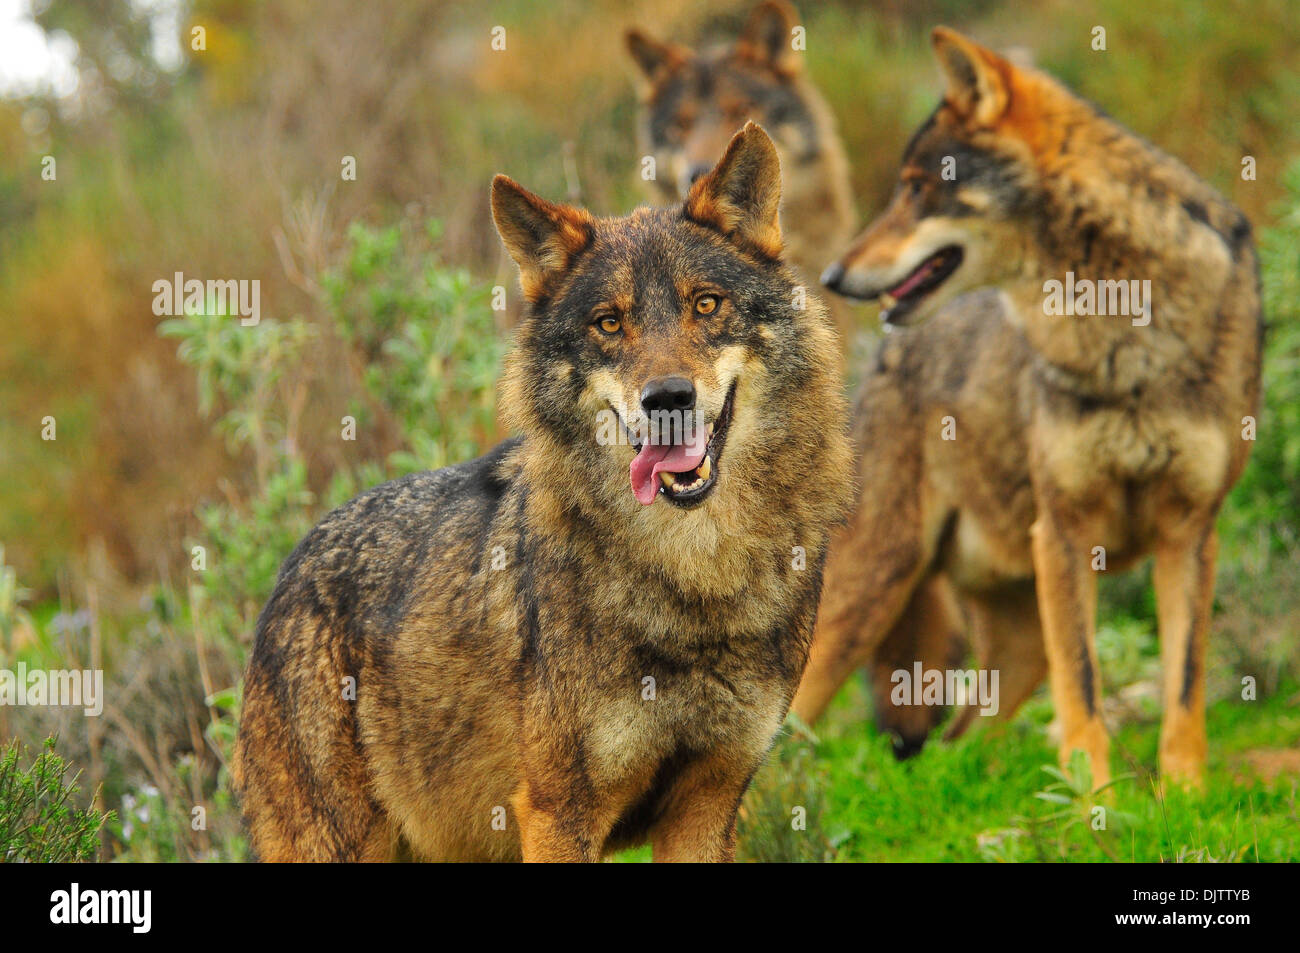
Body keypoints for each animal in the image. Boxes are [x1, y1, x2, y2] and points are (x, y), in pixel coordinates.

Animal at [232, 123, 853, 861]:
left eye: (706, 303)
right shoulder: (558, 811)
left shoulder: (708, 804)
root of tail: (288, 570)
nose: (667, 399)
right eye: (609, 323)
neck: (693, 573)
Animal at [793, 28, 1262, 789]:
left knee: (954, 741)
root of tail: (876, 360)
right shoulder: (1066, 531)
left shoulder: (1191, 532)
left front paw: (1184, 795)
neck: (1124, 331)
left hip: (1013, 635)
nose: (834, 276)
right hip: (873, 588)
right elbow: (1085, 692)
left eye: (917, 188)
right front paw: (1095, 798)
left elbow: (1184, 690)